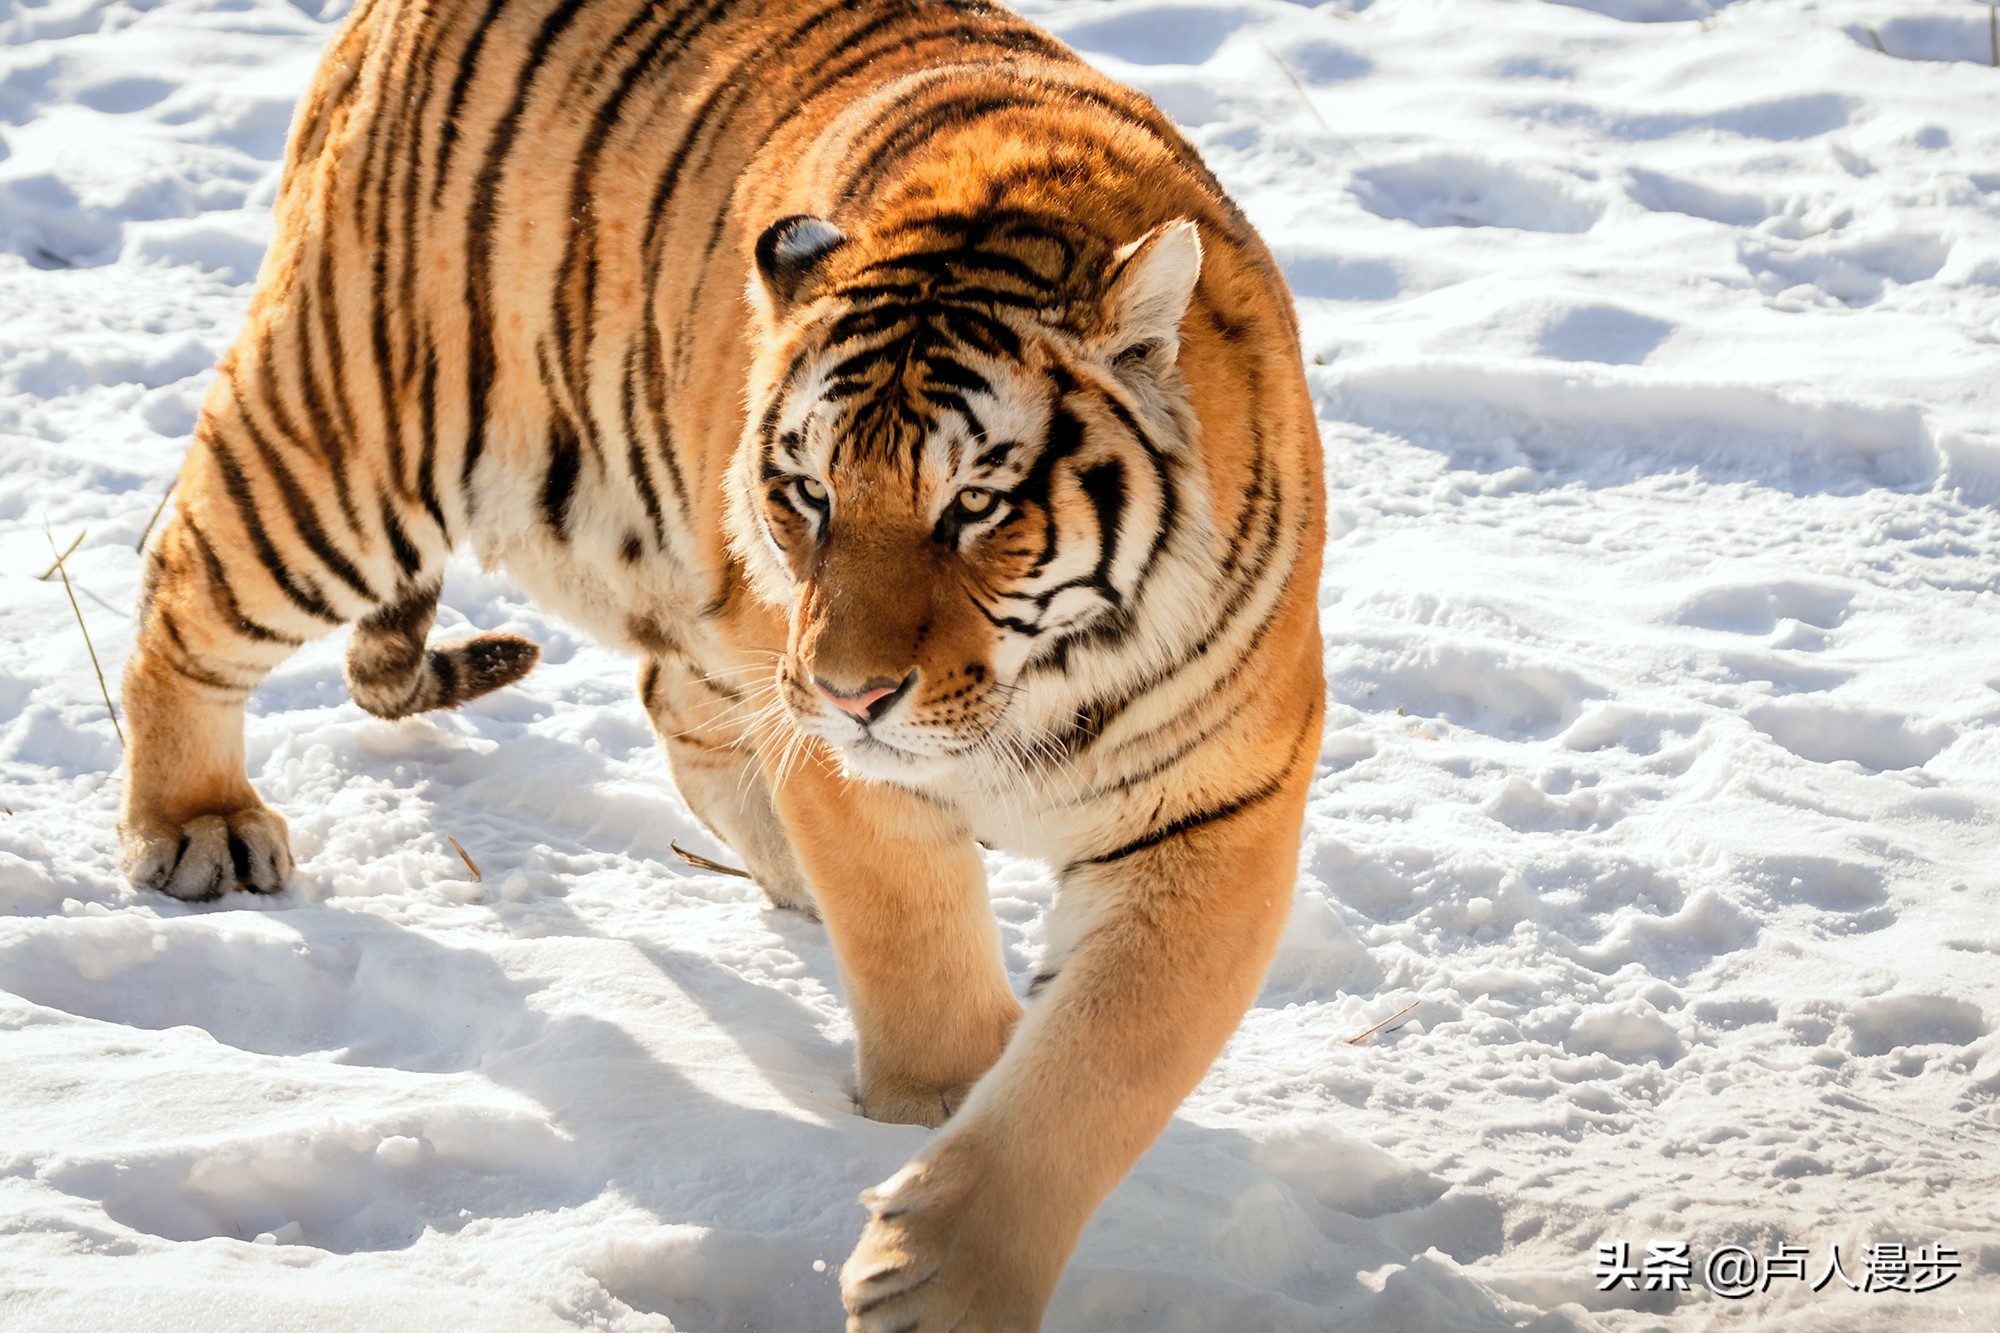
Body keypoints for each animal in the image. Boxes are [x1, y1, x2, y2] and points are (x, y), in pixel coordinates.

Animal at [116, 0, 1326, 1326]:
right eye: (809, 492)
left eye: (974, 503)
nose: (853, 693)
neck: (1031, 691)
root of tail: (376, 27)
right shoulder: (855, 762)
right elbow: (926, 962)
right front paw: (932, 1124)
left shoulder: (1217, 807)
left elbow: (1106, 1057)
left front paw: (940, 1273)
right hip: (347, 446)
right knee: (185, 583)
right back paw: (199, 825)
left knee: (672, 698)